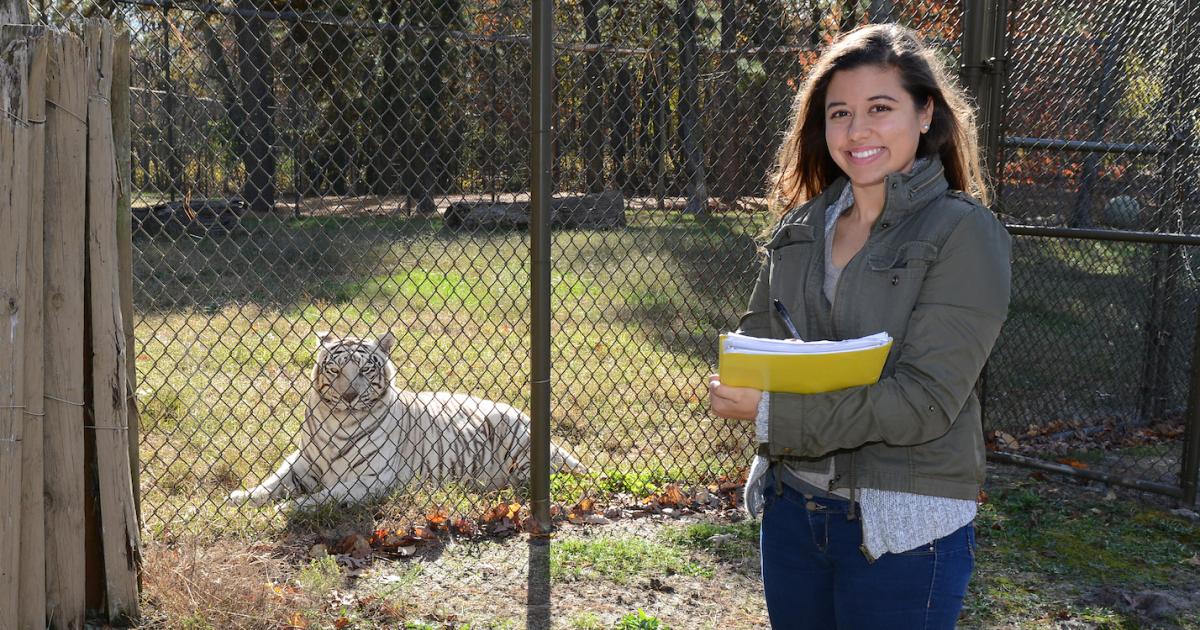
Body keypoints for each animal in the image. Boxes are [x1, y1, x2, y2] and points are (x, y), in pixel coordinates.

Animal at [228, 331, 587, 510]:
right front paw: (242, 497)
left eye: (365, 369)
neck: (336, 422)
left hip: (516, 444)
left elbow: (324, 496)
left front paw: (289, 507)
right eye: (335, 369)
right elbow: (273, 482)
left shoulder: (371, 478)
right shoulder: (303, 462)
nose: (349, 397)